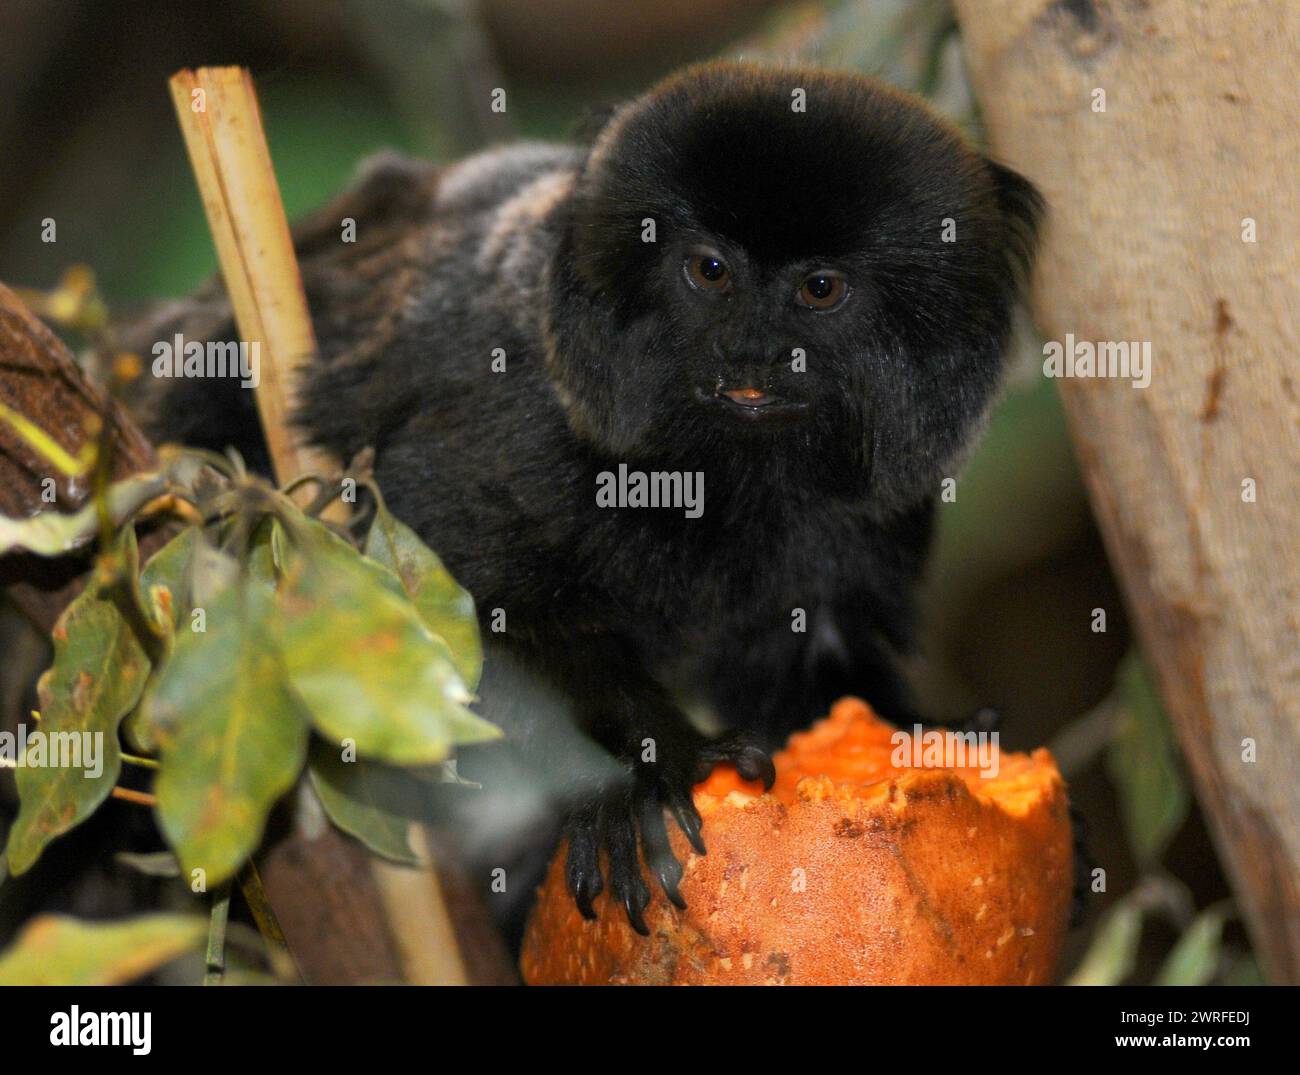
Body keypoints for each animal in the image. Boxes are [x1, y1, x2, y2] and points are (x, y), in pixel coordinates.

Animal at [130, 61, 1044, 937]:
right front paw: (649, 765)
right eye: (710, 271)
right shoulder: (530, 418)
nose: (750, 351)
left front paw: (922, 732)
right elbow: (462, 605)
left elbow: (818, 661)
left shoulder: (880, 501)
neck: (723, 472)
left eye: (819, 289)